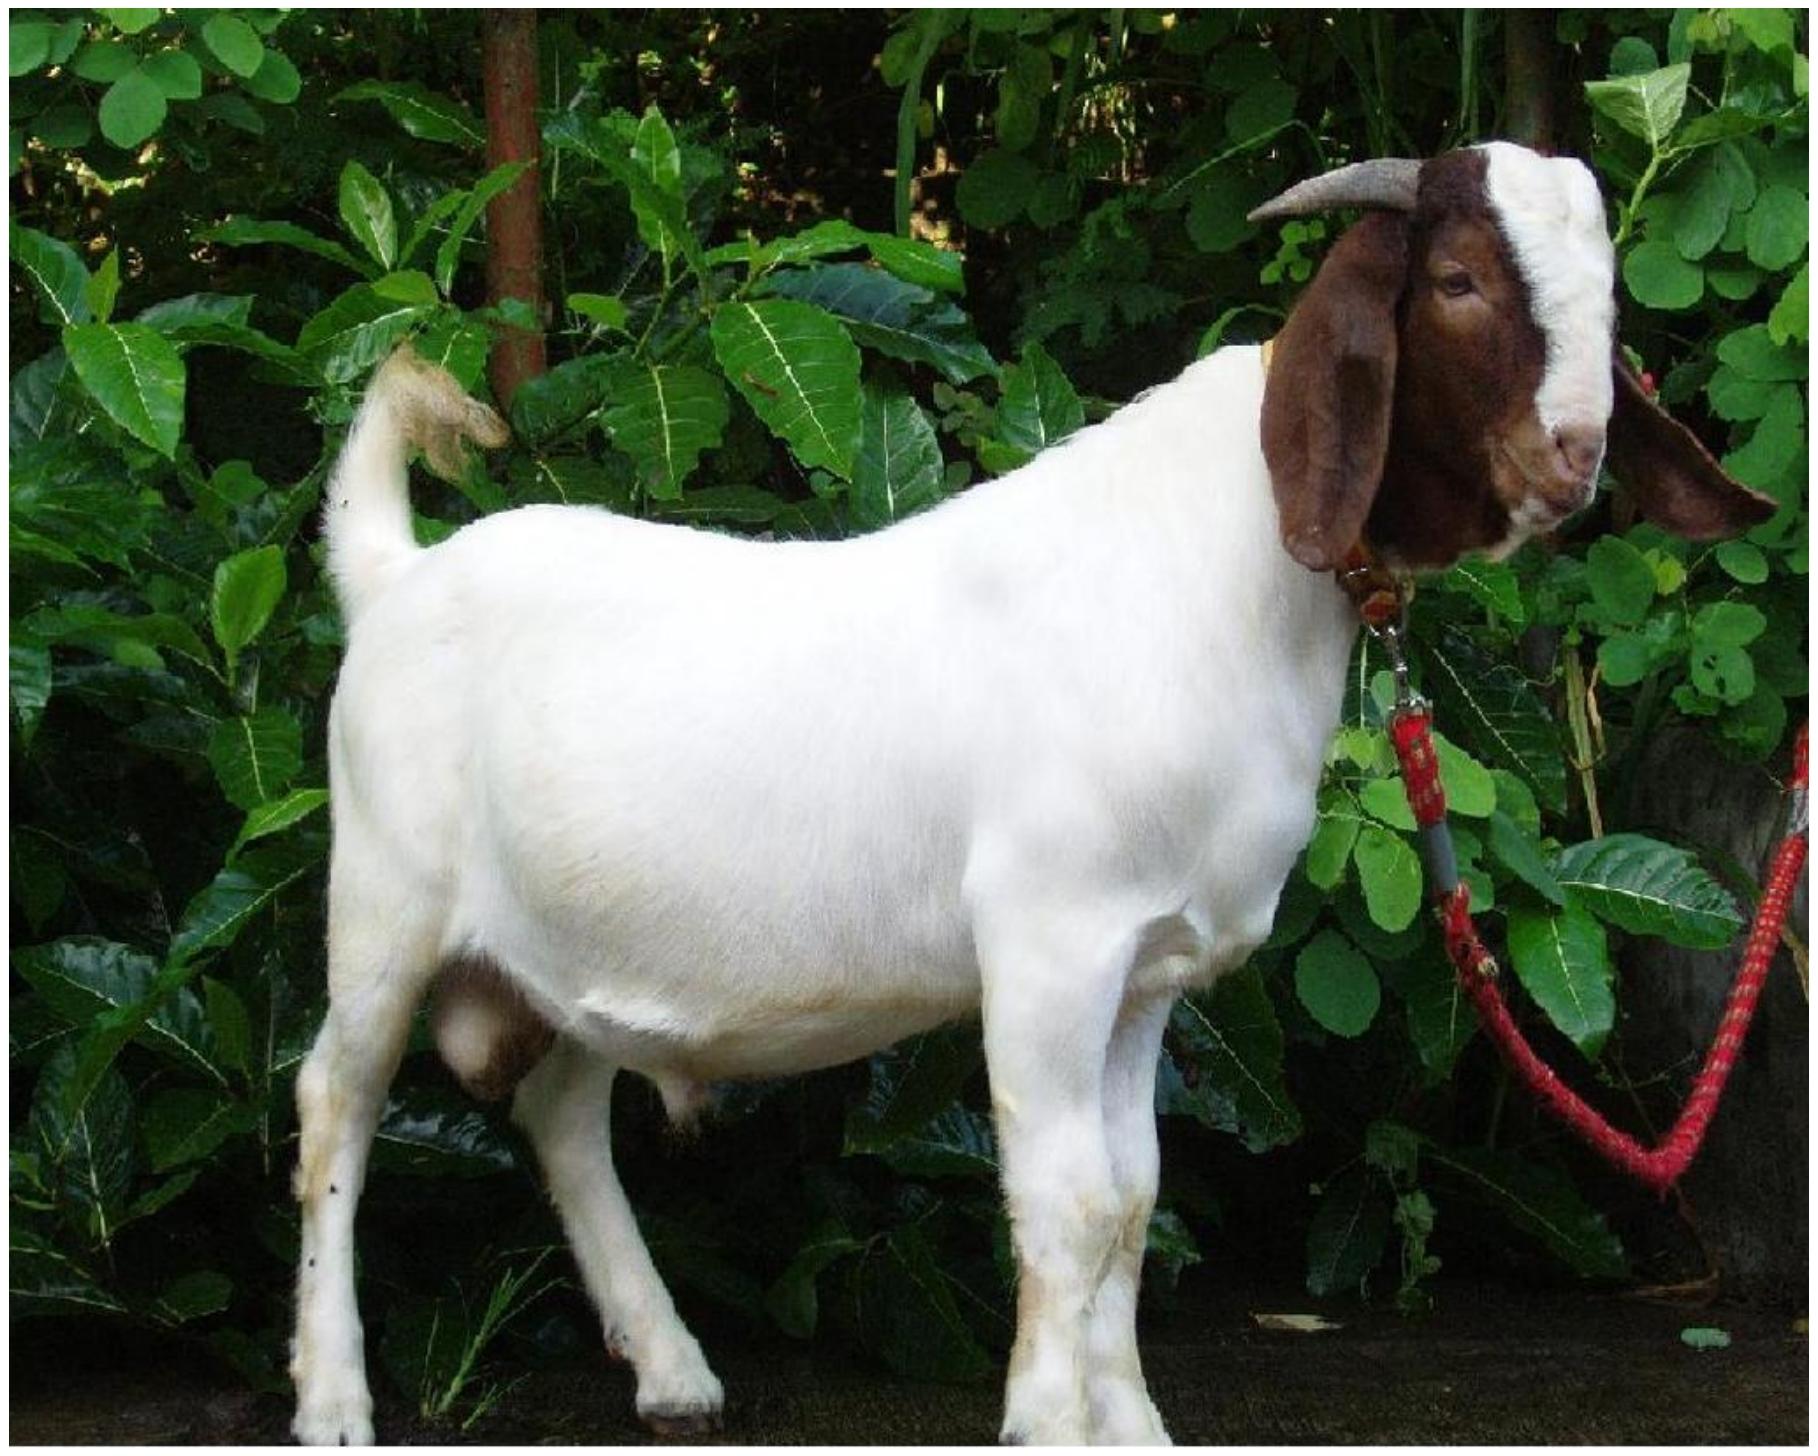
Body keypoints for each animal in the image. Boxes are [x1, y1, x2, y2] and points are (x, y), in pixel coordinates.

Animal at [290, 141, 1772, 1446]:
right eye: (1457, 280)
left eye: (1609, 290)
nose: (1573, 457)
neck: (1216, 573)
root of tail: (393, 574)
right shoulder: (1051, 942)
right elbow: (1066, 1202)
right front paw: (1047, 1423)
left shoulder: (1147, 970)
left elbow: (1130, 1200)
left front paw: (1130, 1428)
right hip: (382, 901)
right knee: (332, 1110)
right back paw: (335, 1401)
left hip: (575, 950)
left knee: (561, 1111)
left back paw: (671, 1369)